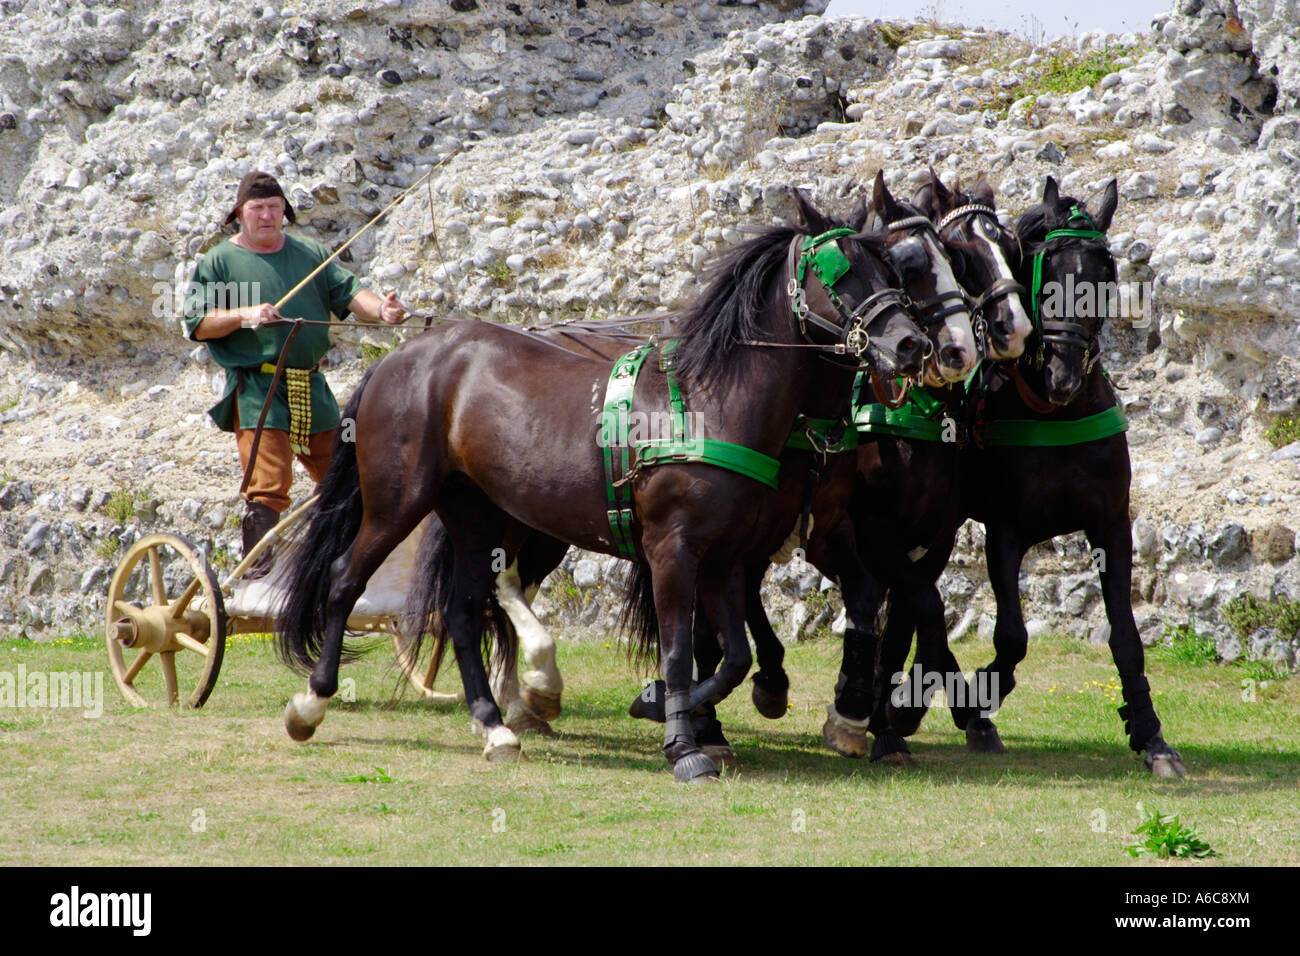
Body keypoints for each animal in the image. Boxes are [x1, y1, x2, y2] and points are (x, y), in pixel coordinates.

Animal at [274, 192, 927, 782]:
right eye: (840, 273)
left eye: (892, 271)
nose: (911, 344)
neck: (712, 402)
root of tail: (403, 355)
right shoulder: (673, 551)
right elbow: (680, 651)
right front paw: (683, 744)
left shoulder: (724, 557)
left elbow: (734, 658)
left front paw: (664, 706)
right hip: (398, 503)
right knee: (345, 581)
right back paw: (312, 704)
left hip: (476, 514)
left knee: (463, 612)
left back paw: (495, 725)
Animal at [877, 175, 1187, 777]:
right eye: (1044, 266)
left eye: (1105, 271)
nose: (1062, 372)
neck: (1055, 412)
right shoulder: (1004, 533)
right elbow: (1012, 637)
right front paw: (978, 701)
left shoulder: (1111, 527)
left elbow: (1126, 637)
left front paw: (1151, 734)